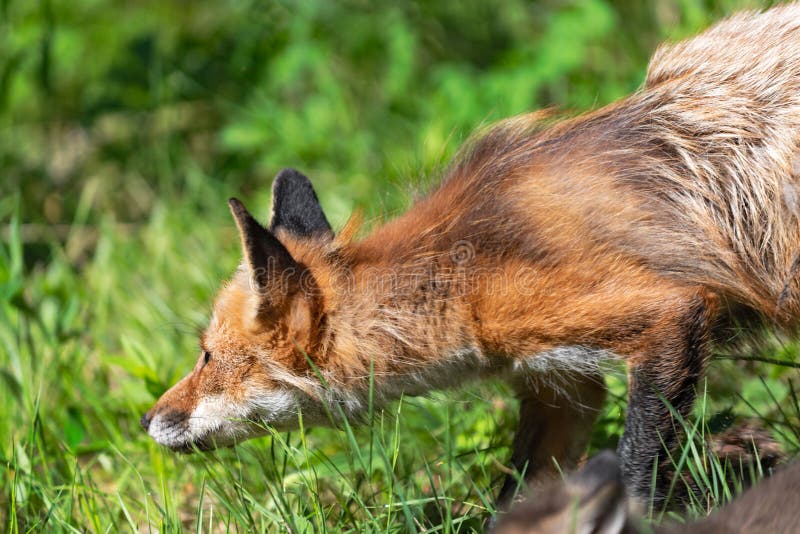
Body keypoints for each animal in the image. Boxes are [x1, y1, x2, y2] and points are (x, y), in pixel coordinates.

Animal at [142, 4, 800, 509]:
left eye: (207, 356)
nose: (147, 420)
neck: (468, 273)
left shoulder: (664, 316)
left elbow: (637, 472)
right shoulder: (561, 387)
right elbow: (519, 495)